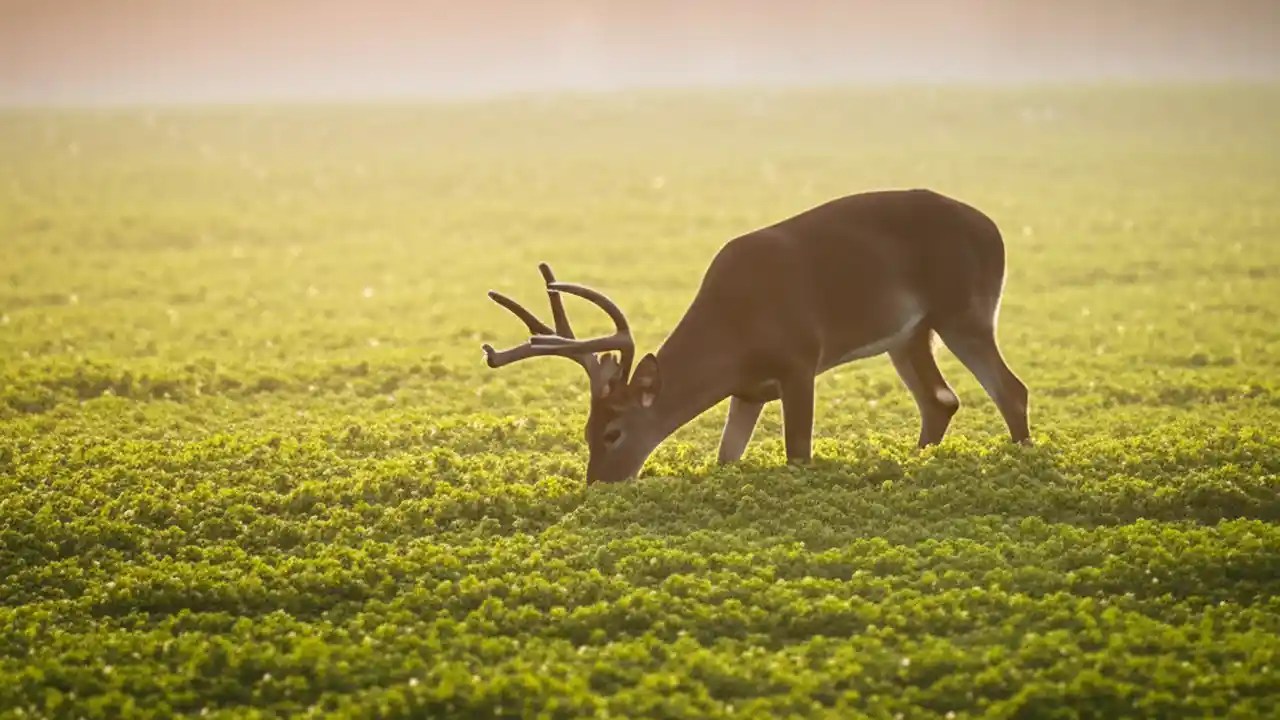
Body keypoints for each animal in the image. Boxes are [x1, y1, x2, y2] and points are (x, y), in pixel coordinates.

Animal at [482, 189, 1030, 484]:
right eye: (585, 431)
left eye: (613, 432)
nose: (598, 485)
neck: (735, 332)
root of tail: (996, 229)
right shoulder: (747, 391)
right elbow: (726, 458)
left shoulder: (801, 361)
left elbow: (798, 453)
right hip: (909, 334)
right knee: (940, 400)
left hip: (965, 310)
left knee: (1011, 389)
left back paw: (1024, 458)